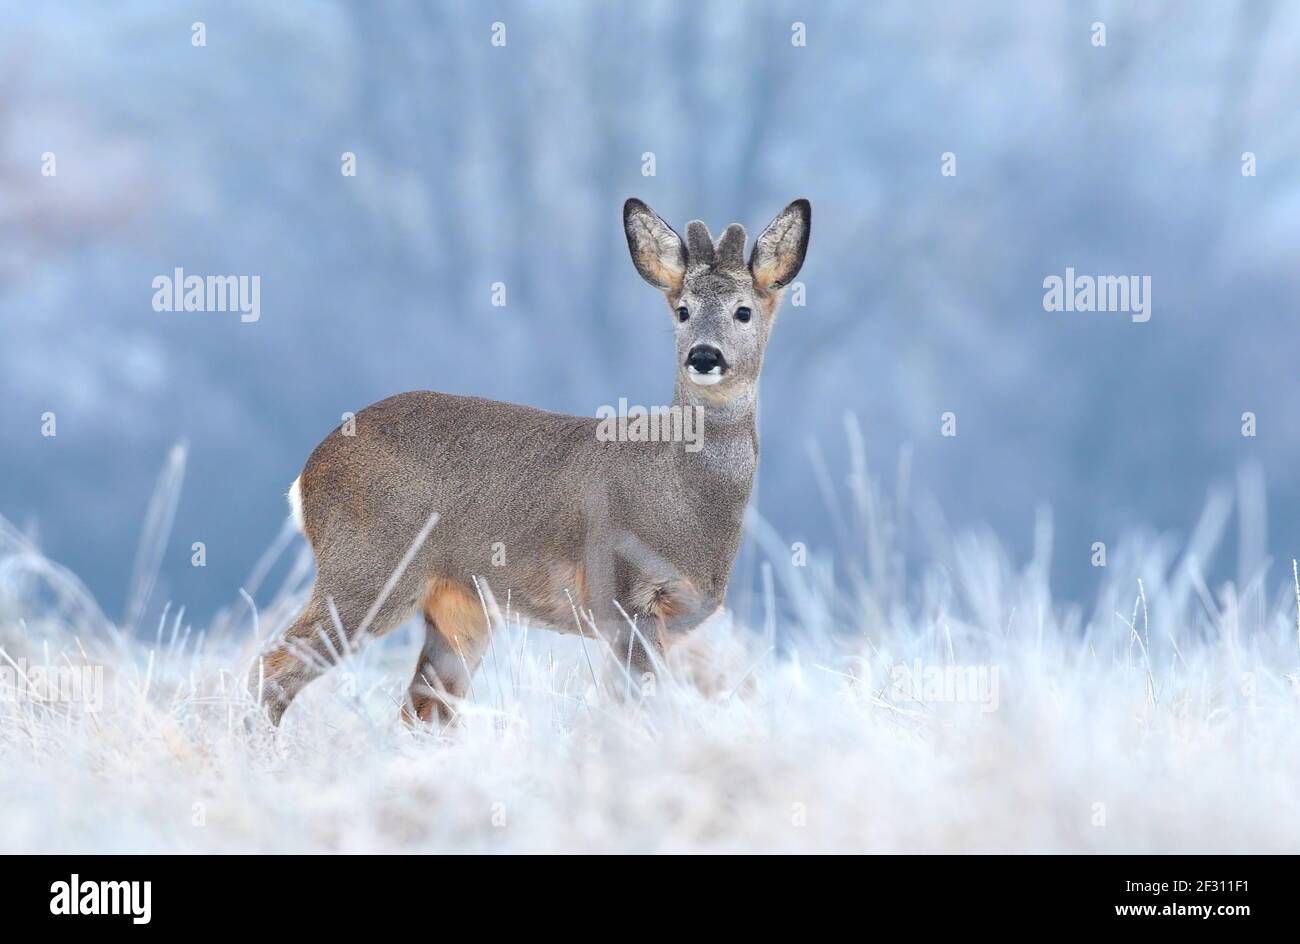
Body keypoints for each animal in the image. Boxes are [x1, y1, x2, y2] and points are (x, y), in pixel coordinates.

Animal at [251, 197, 810, 727]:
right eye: (683, 311)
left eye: (743, 311)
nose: (704, 356)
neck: (685, 495)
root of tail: (308, 473)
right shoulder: (622, 596)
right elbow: (637, 706)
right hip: (367, 568)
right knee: (271, 669)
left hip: (459, 605)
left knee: (422, 708)